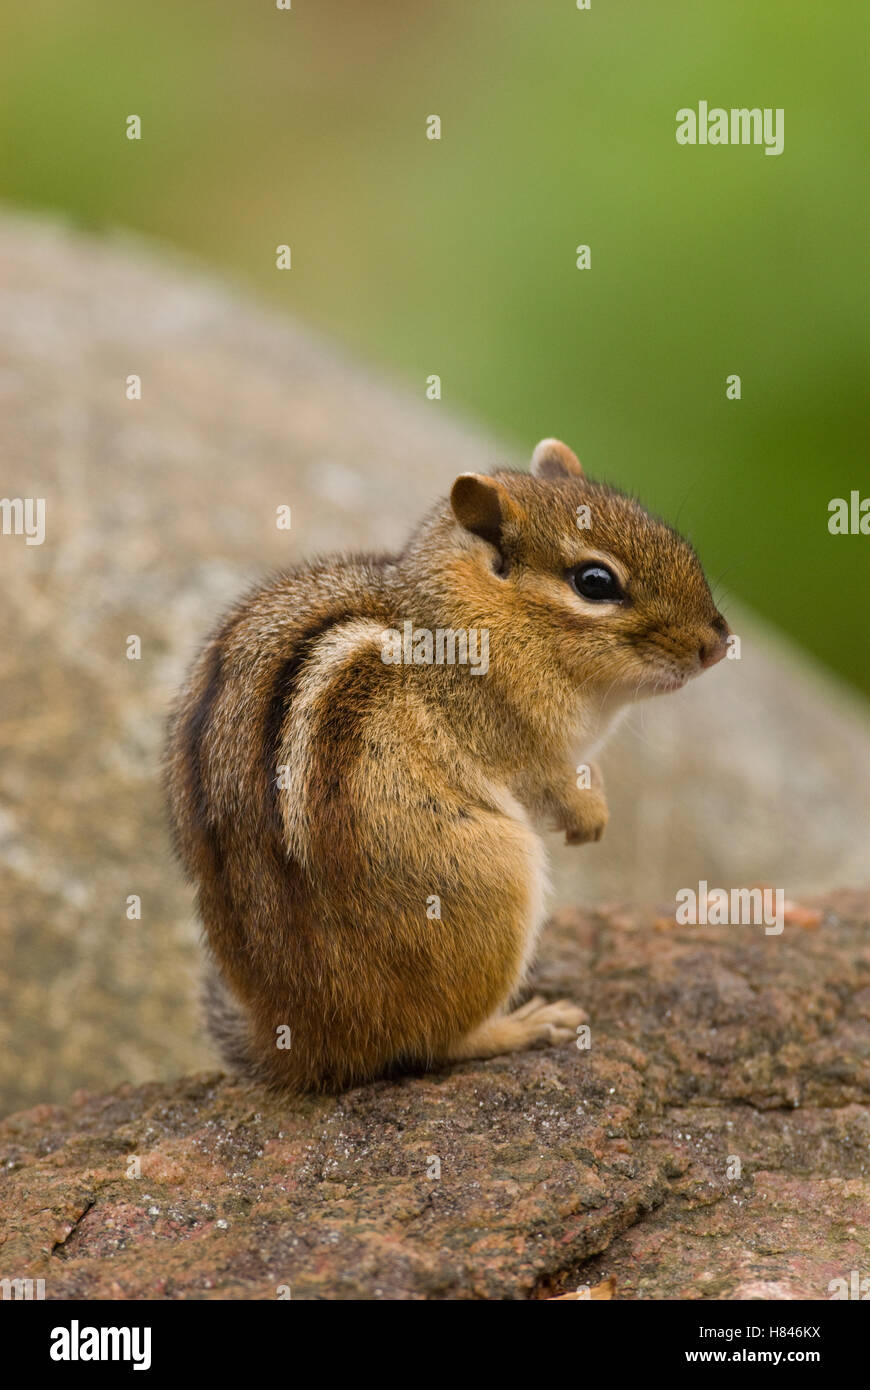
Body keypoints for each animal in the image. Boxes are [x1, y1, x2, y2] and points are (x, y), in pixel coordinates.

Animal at [165, 438, 729, 1093]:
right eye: (595, 582)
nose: (719, 643)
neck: (469, 615)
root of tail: (313, 1041)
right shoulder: (518, 739)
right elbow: (553, 781)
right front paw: (590, 816)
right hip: (493, 880)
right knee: (433, 1045)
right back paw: (523, 1025)